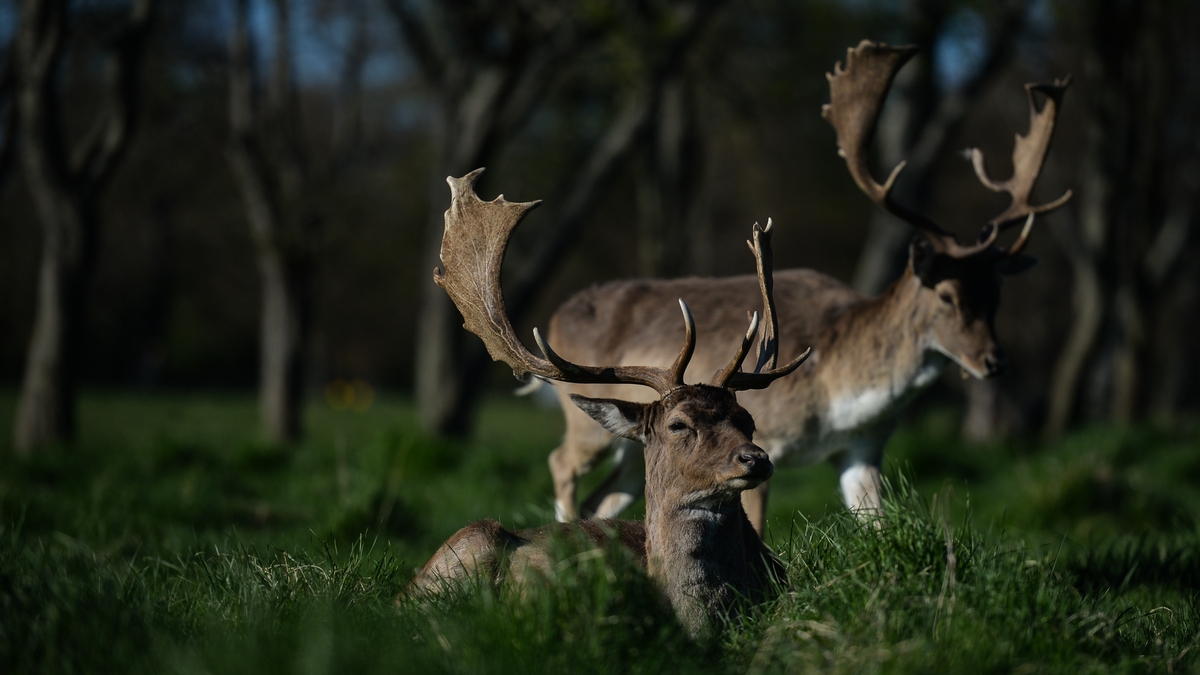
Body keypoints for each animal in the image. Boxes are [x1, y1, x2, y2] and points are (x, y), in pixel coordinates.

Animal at [535, 40, 1072, 534]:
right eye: (946, 295)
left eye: (997, 293)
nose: (994, 361)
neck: (840, 394)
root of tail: (556, 315)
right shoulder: (768, 437)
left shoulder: (862, 448)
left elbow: (878, 524)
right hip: (585, 422)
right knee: (561, 463)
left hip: (635, 446)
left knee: (603, 499)